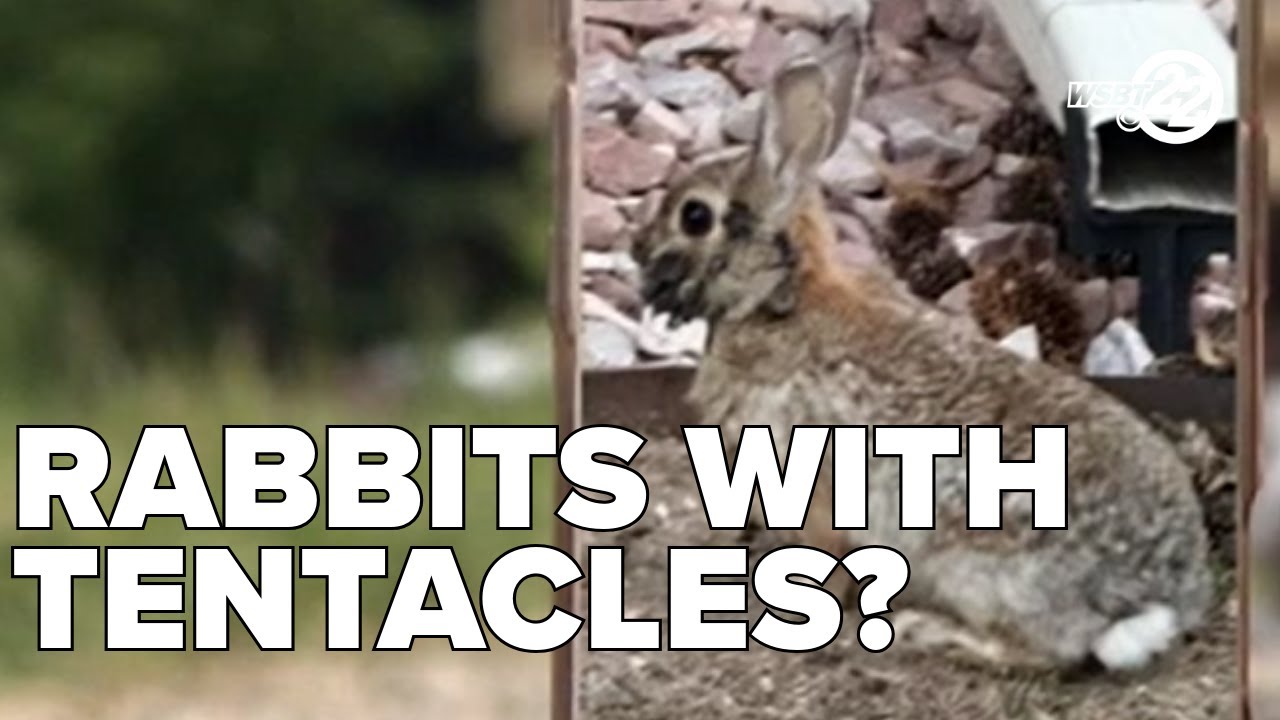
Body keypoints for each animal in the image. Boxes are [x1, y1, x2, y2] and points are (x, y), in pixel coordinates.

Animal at [630, 23, 1215, 673]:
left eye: (695, 216)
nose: (637, 245)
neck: (782, 297)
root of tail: (1153, 600)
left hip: (978, 567)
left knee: (1040, 651)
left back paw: (931, 632)